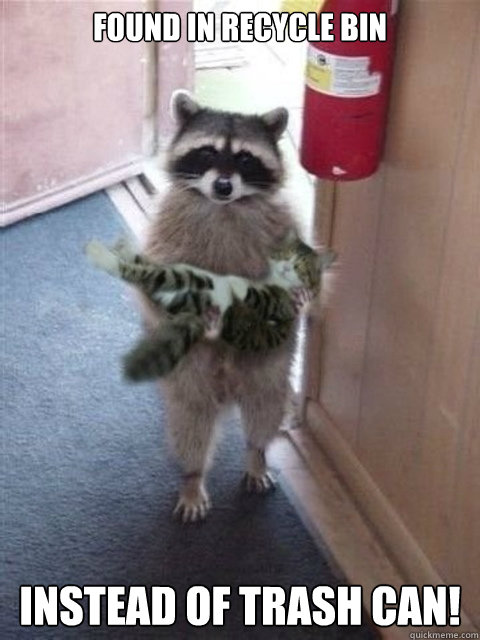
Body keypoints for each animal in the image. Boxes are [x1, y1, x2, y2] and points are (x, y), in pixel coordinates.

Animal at [141, 91, 305, 522]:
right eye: (208, 152)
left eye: (246, 159)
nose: (224, 185)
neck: (225, 206)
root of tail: (228, 383)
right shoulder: (166, 229)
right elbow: (159, 277)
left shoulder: (283, 223)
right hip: (191, 372)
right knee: (191, 421)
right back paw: (192, 476)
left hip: (269, 364)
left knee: (265, 407)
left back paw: (257, 455)